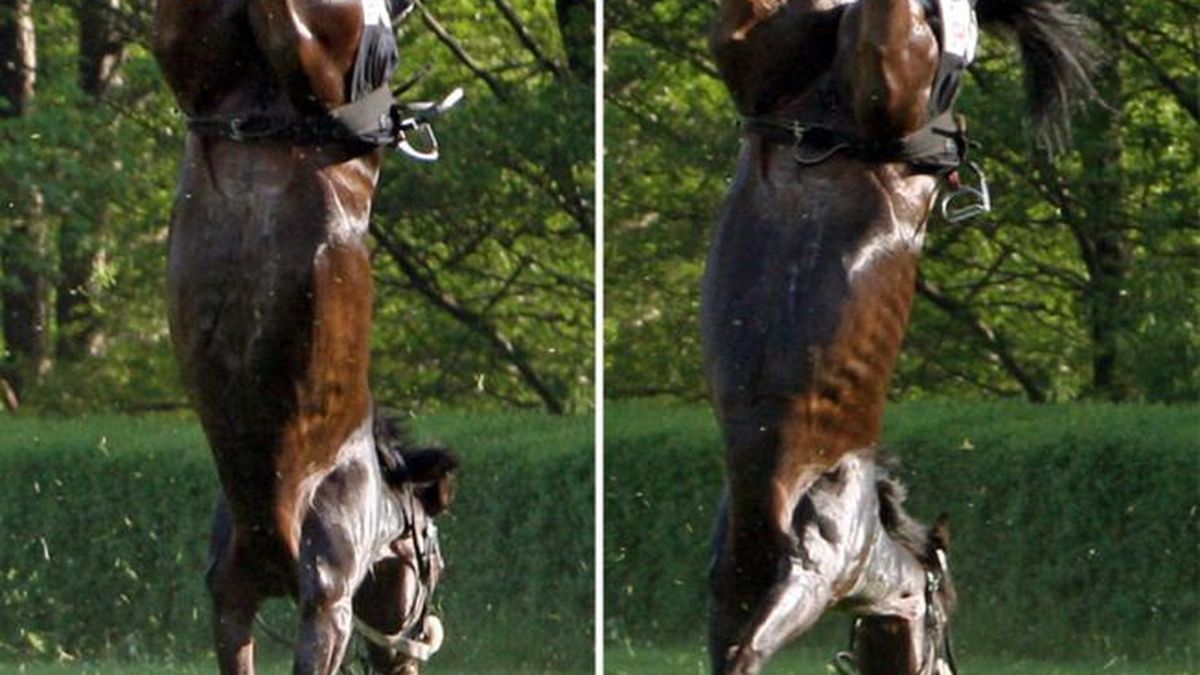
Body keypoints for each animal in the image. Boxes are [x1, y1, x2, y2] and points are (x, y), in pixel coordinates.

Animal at [151, 1, 457, 673]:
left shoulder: (232, 596)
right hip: (333, 54)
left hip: (199, 59)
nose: (413, 649)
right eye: (434, 564)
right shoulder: (328, 600)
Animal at [701, 0, 1093, 673]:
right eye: (946, 619)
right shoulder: (792, 580)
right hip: (879, 74)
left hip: (806, 69)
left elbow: (739, 647)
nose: (940, 664)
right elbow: (744, 651)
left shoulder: (775, 583)